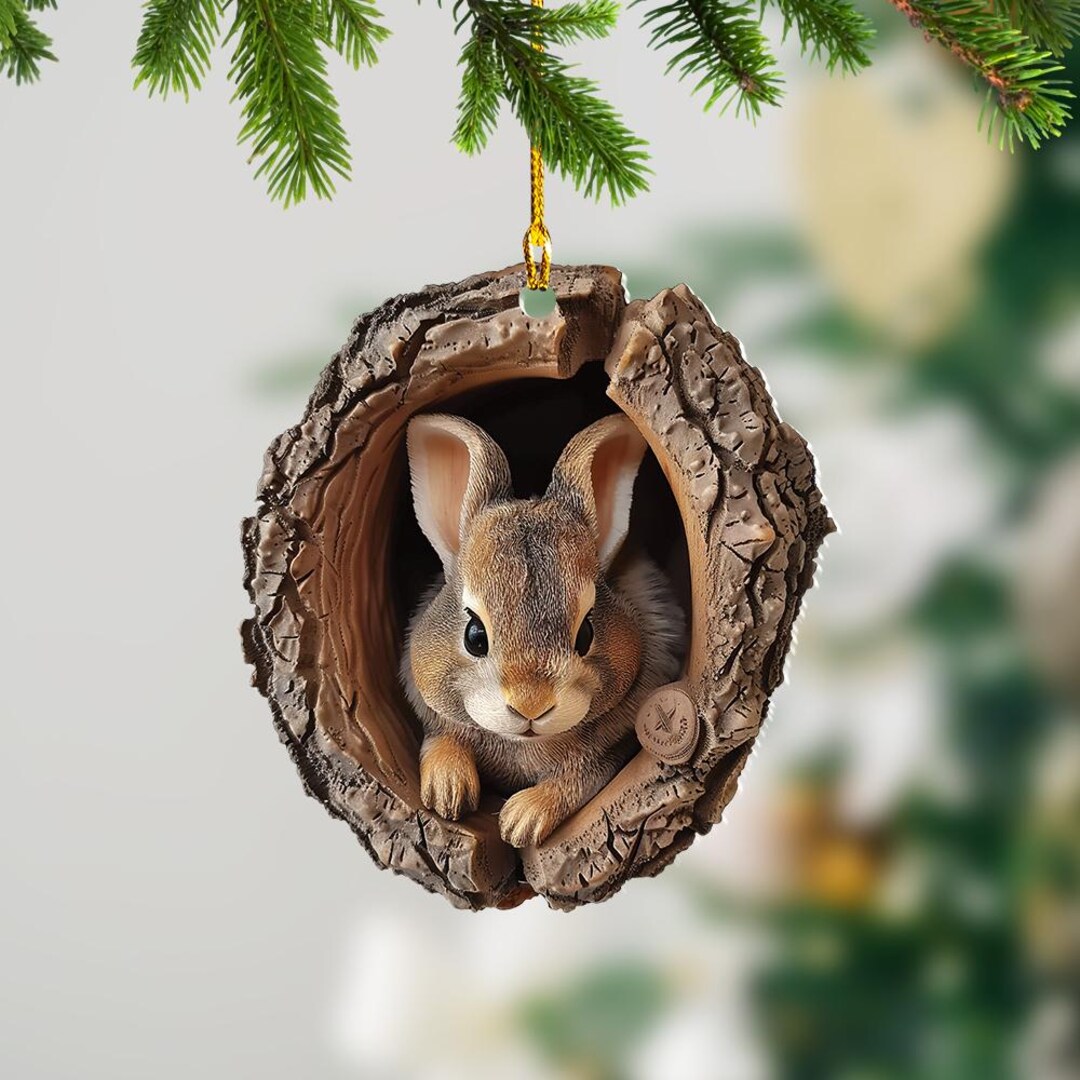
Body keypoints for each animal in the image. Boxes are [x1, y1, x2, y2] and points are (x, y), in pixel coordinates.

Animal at [399, 411, 684, 848]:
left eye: (586, 634)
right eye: (474, 636)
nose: (530, 705)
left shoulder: (605, 760)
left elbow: (574, 782)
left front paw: (520, 821)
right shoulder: (437, 723)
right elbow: (442, 740)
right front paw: (447, 794)